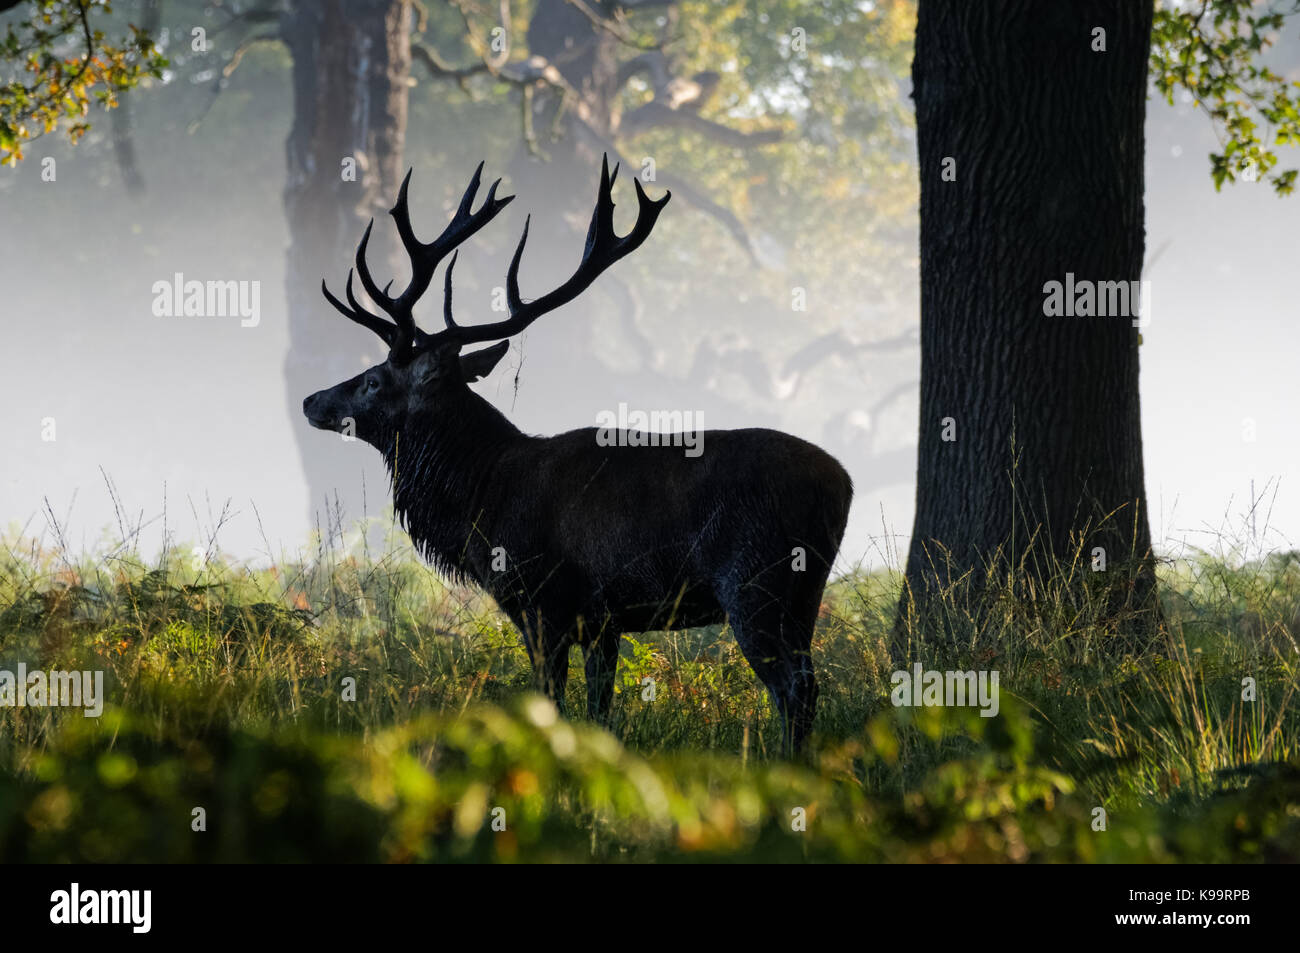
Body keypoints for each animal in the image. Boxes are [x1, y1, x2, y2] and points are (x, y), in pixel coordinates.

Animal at [302, 157, 853, 755]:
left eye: (374, 380)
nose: (311, 400)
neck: (480, 501)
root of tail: (843, 483)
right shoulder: (602, 618)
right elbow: (599, 709)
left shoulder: (542, 601)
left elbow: (552, 702)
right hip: (805, 591)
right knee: (807, 681)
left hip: (754, 581)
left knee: (793, 687)